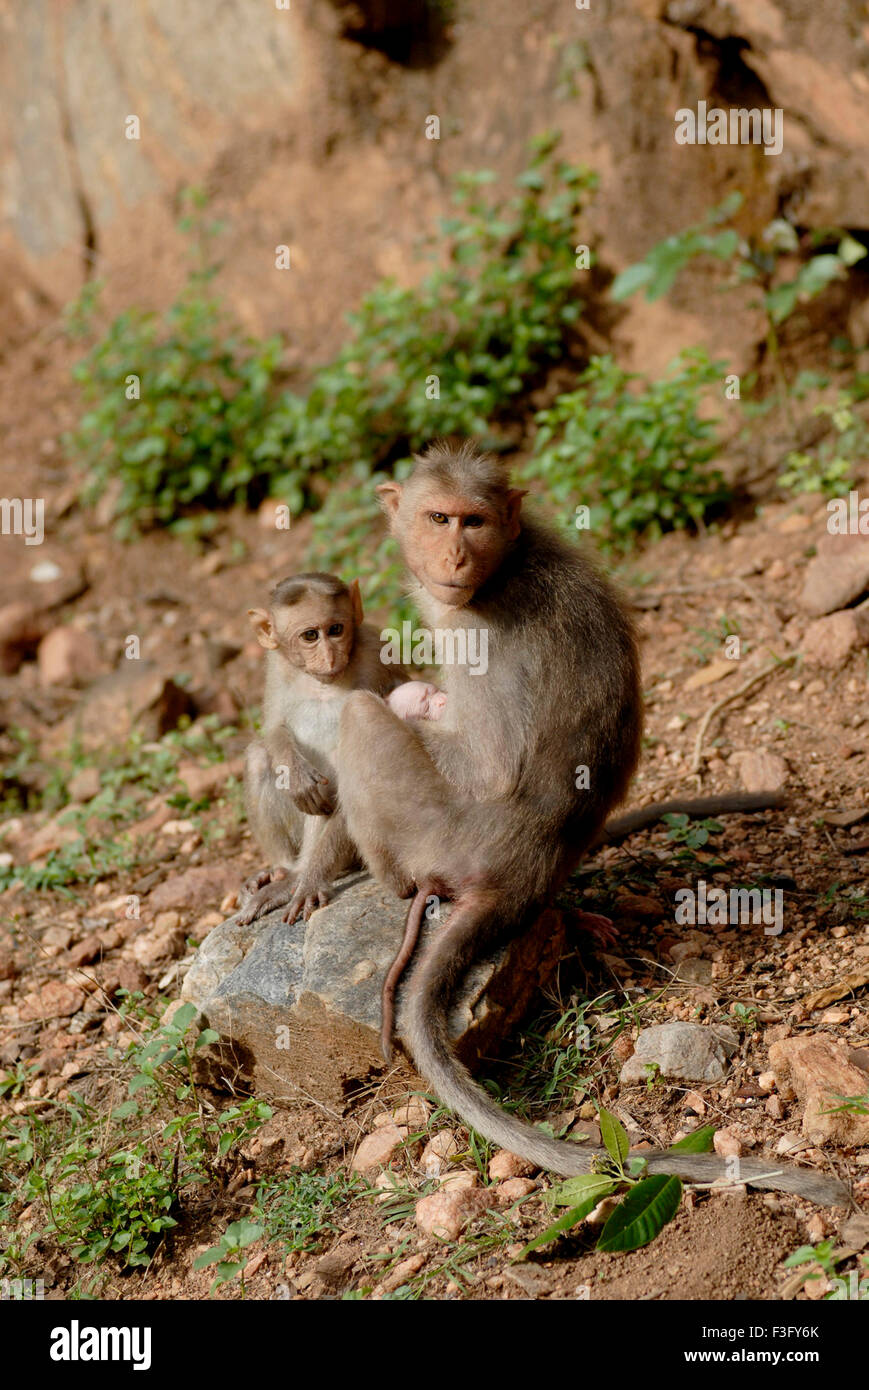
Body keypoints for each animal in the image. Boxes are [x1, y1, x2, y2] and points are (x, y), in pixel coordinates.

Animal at [239, 572, 406, 926]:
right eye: (310, 636)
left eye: (336, 629)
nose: (329, 656)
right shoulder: (277, 666)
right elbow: (273, 726)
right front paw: (296, 773)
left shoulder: (375, 650)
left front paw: (312, 881)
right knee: (259, 756)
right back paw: (283, 869)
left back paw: (298, 878)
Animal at [334, 442, 846, 1206]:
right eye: (436, 518)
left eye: (472, 521)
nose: (454, 556)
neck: (507, 561)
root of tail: (522, 876)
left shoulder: (473, 628)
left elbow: (485, 764)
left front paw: (411, 697)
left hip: (433, 832)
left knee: (360, 717)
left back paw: (393, 880)